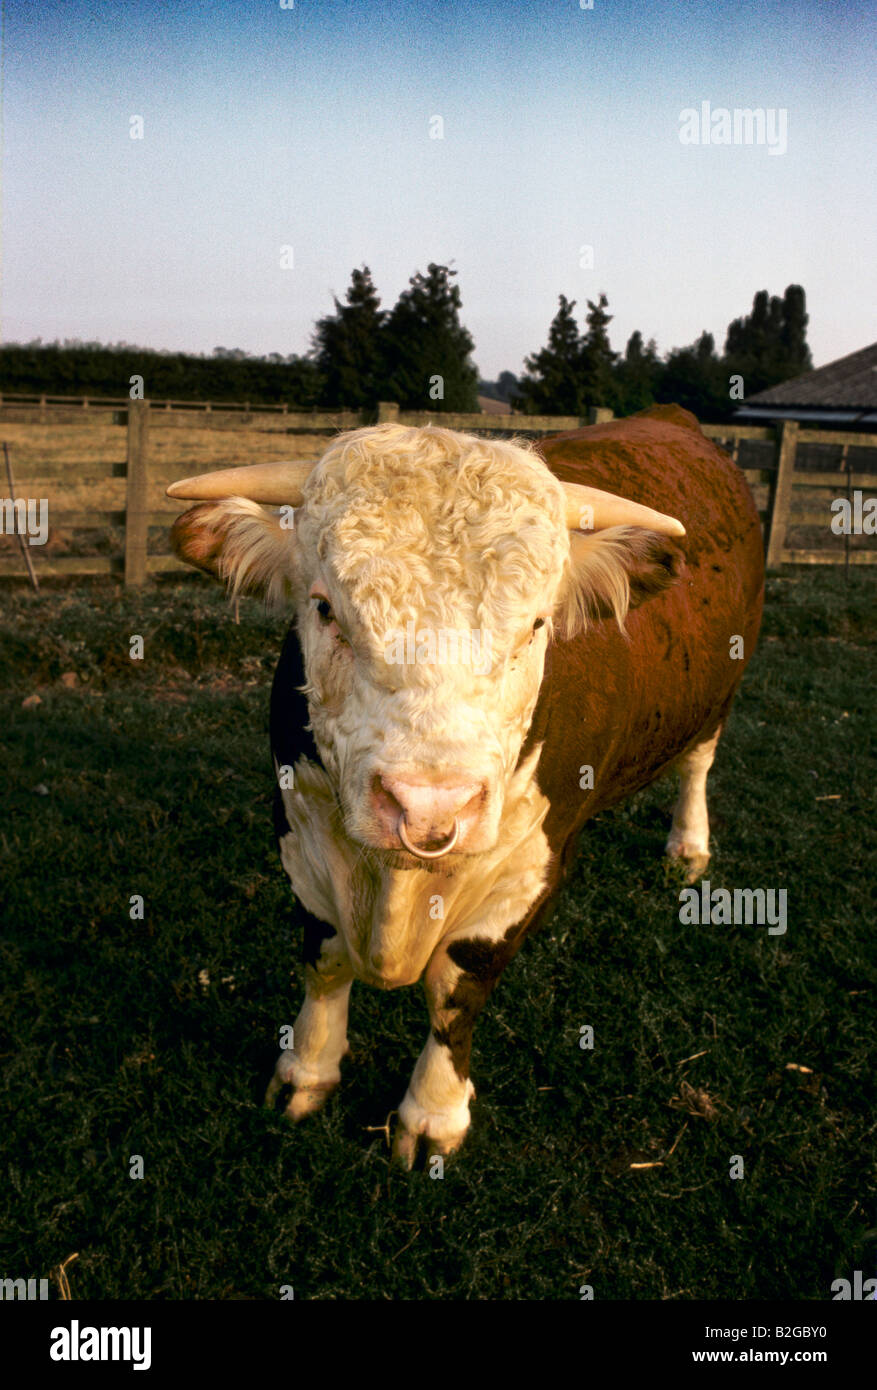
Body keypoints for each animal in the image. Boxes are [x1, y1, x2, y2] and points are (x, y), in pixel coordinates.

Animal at [167, 404, 764, 1167]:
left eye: (536, 625)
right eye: (325, 608)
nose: (428, 807)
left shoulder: (531, 865)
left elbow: (459, 990)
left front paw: (431, 1114)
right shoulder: (298, 826)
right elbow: (324, 960)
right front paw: (306, 1072)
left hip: (720, 692)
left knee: (696, 765)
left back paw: (687, 848)